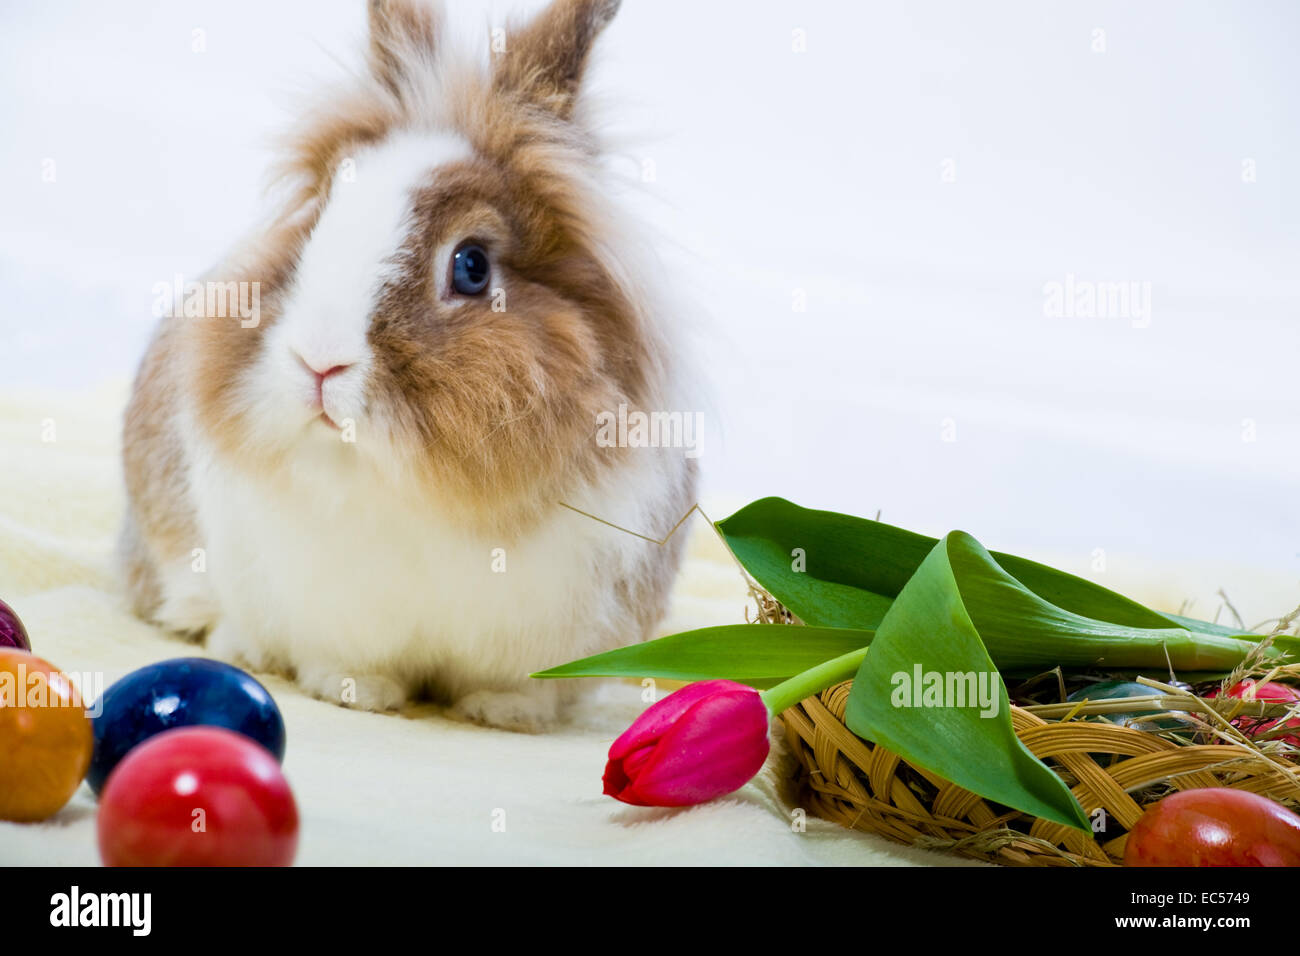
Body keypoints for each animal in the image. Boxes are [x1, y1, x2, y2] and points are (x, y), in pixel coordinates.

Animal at [117, 0, 699, 732]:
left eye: (472, 266)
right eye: (317, 220)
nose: (319, 362)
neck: (412, 490)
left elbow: (522, 686)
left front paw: (504, 714)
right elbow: (341, 660)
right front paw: (358, 693)